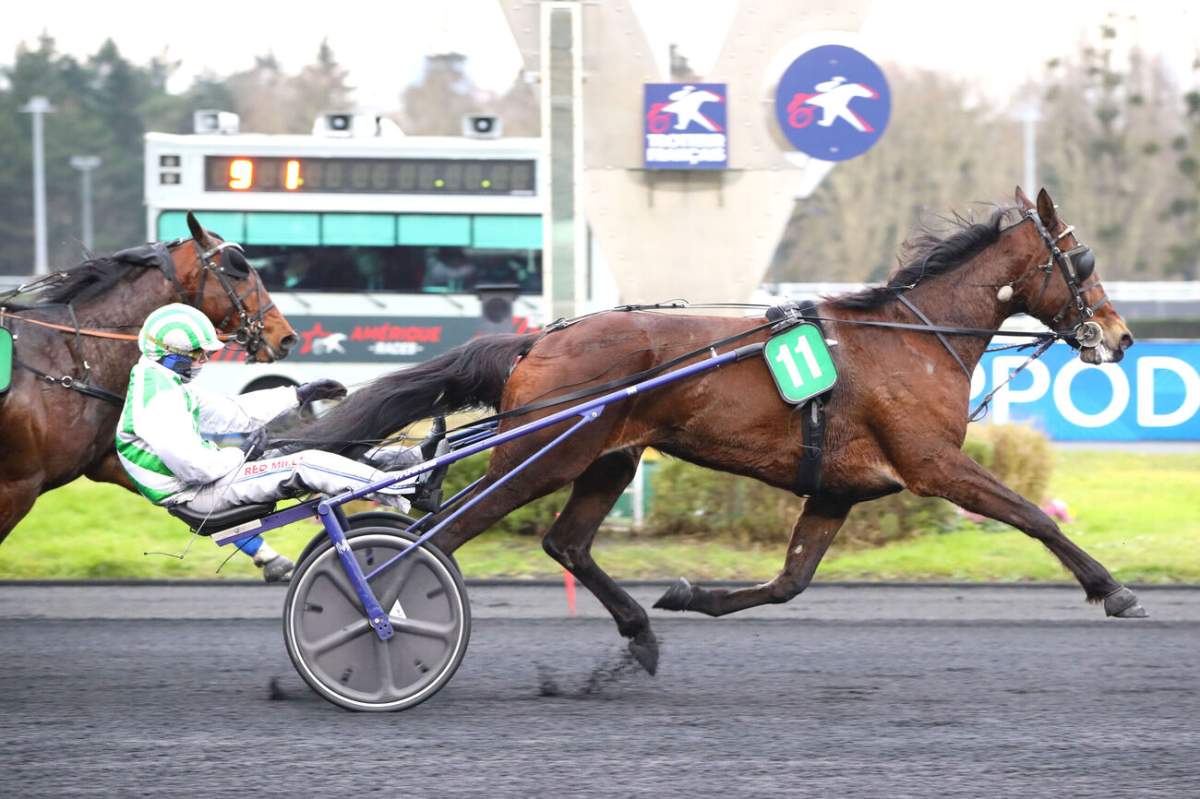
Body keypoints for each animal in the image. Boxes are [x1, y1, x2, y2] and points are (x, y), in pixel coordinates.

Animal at [290, 188, 1141, 675]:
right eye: (1081, 261)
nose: (1122, 336)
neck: (914, 339)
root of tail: (537, 341)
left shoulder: (837, 489)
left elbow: (790, 581)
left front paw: (686, 593)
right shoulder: (931, 462)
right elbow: (1031, 515)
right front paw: (1112, 587)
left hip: (609, 457)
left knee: (565, 541)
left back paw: (639, 630)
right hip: (538, 453)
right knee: (436, 535)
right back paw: (375, 620)